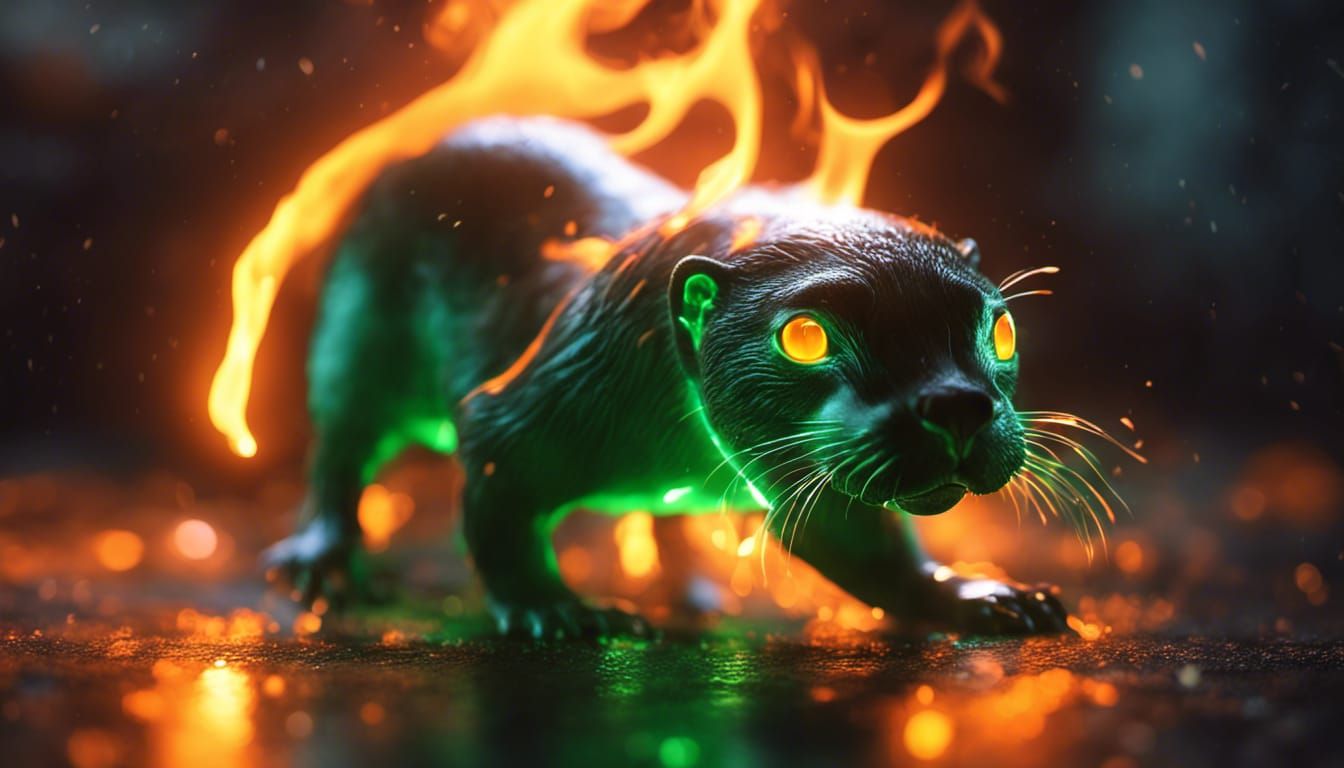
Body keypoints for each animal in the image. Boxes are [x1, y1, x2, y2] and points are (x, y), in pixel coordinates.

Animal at [263, 116, 1070, 637]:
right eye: (806, 336)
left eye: (998, 328)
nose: (957, 405)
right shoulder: (521, 416)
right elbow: (499, 521)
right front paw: (555, 611)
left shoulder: (806, 483)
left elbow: (873, 552)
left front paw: (979, 595)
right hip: (356, 353)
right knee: (339, 452)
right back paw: (320, 564)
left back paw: (687, 588)